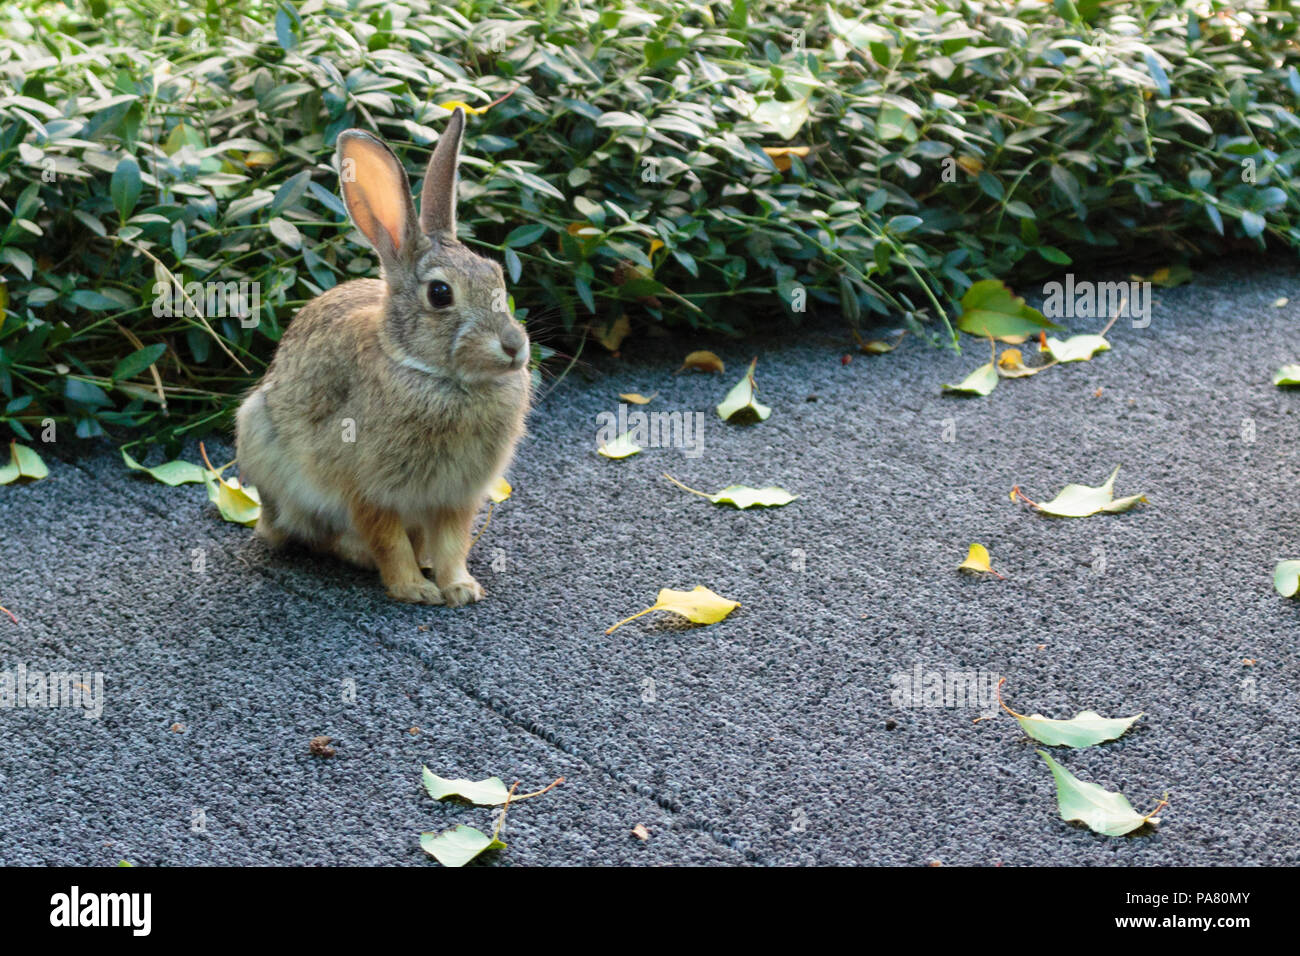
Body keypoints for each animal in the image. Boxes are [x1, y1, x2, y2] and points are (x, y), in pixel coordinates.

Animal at [235, 108, 530, 607]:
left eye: (496, 276)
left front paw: (461, 588)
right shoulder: (368, 489)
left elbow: (452, 543)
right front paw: (415, 590)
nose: (513, 346)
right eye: (440, 294)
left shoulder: (455, 496)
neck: (432, 373)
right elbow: (388, 541)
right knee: (316, 536)